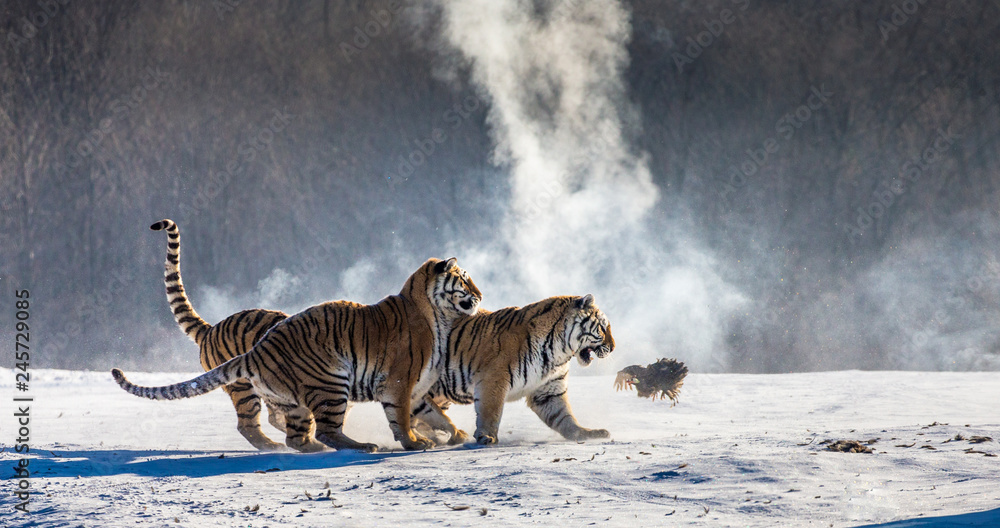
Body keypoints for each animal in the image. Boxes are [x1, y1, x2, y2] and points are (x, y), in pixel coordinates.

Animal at [112, 257, 482, 453]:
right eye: (464, 279)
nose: (479, 296)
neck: (437, 315)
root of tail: (260, 346)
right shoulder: (399, 383)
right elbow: (403, 418)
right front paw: (415, 443)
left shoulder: (417, 390)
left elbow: (437, 415)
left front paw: (456, 435)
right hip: (329, 383)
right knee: (315, 430)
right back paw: (357, 446)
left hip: (294, 399)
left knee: (297, 434)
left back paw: (308, 447)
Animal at [413, 294, 615, 446]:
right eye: (603, 328)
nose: (613, 348)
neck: (558, 352)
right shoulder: (493, 380)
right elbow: (491, 411)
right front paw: (487, 436)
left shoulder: (549, 390)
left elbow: (564, 417)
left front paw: (585, 433)